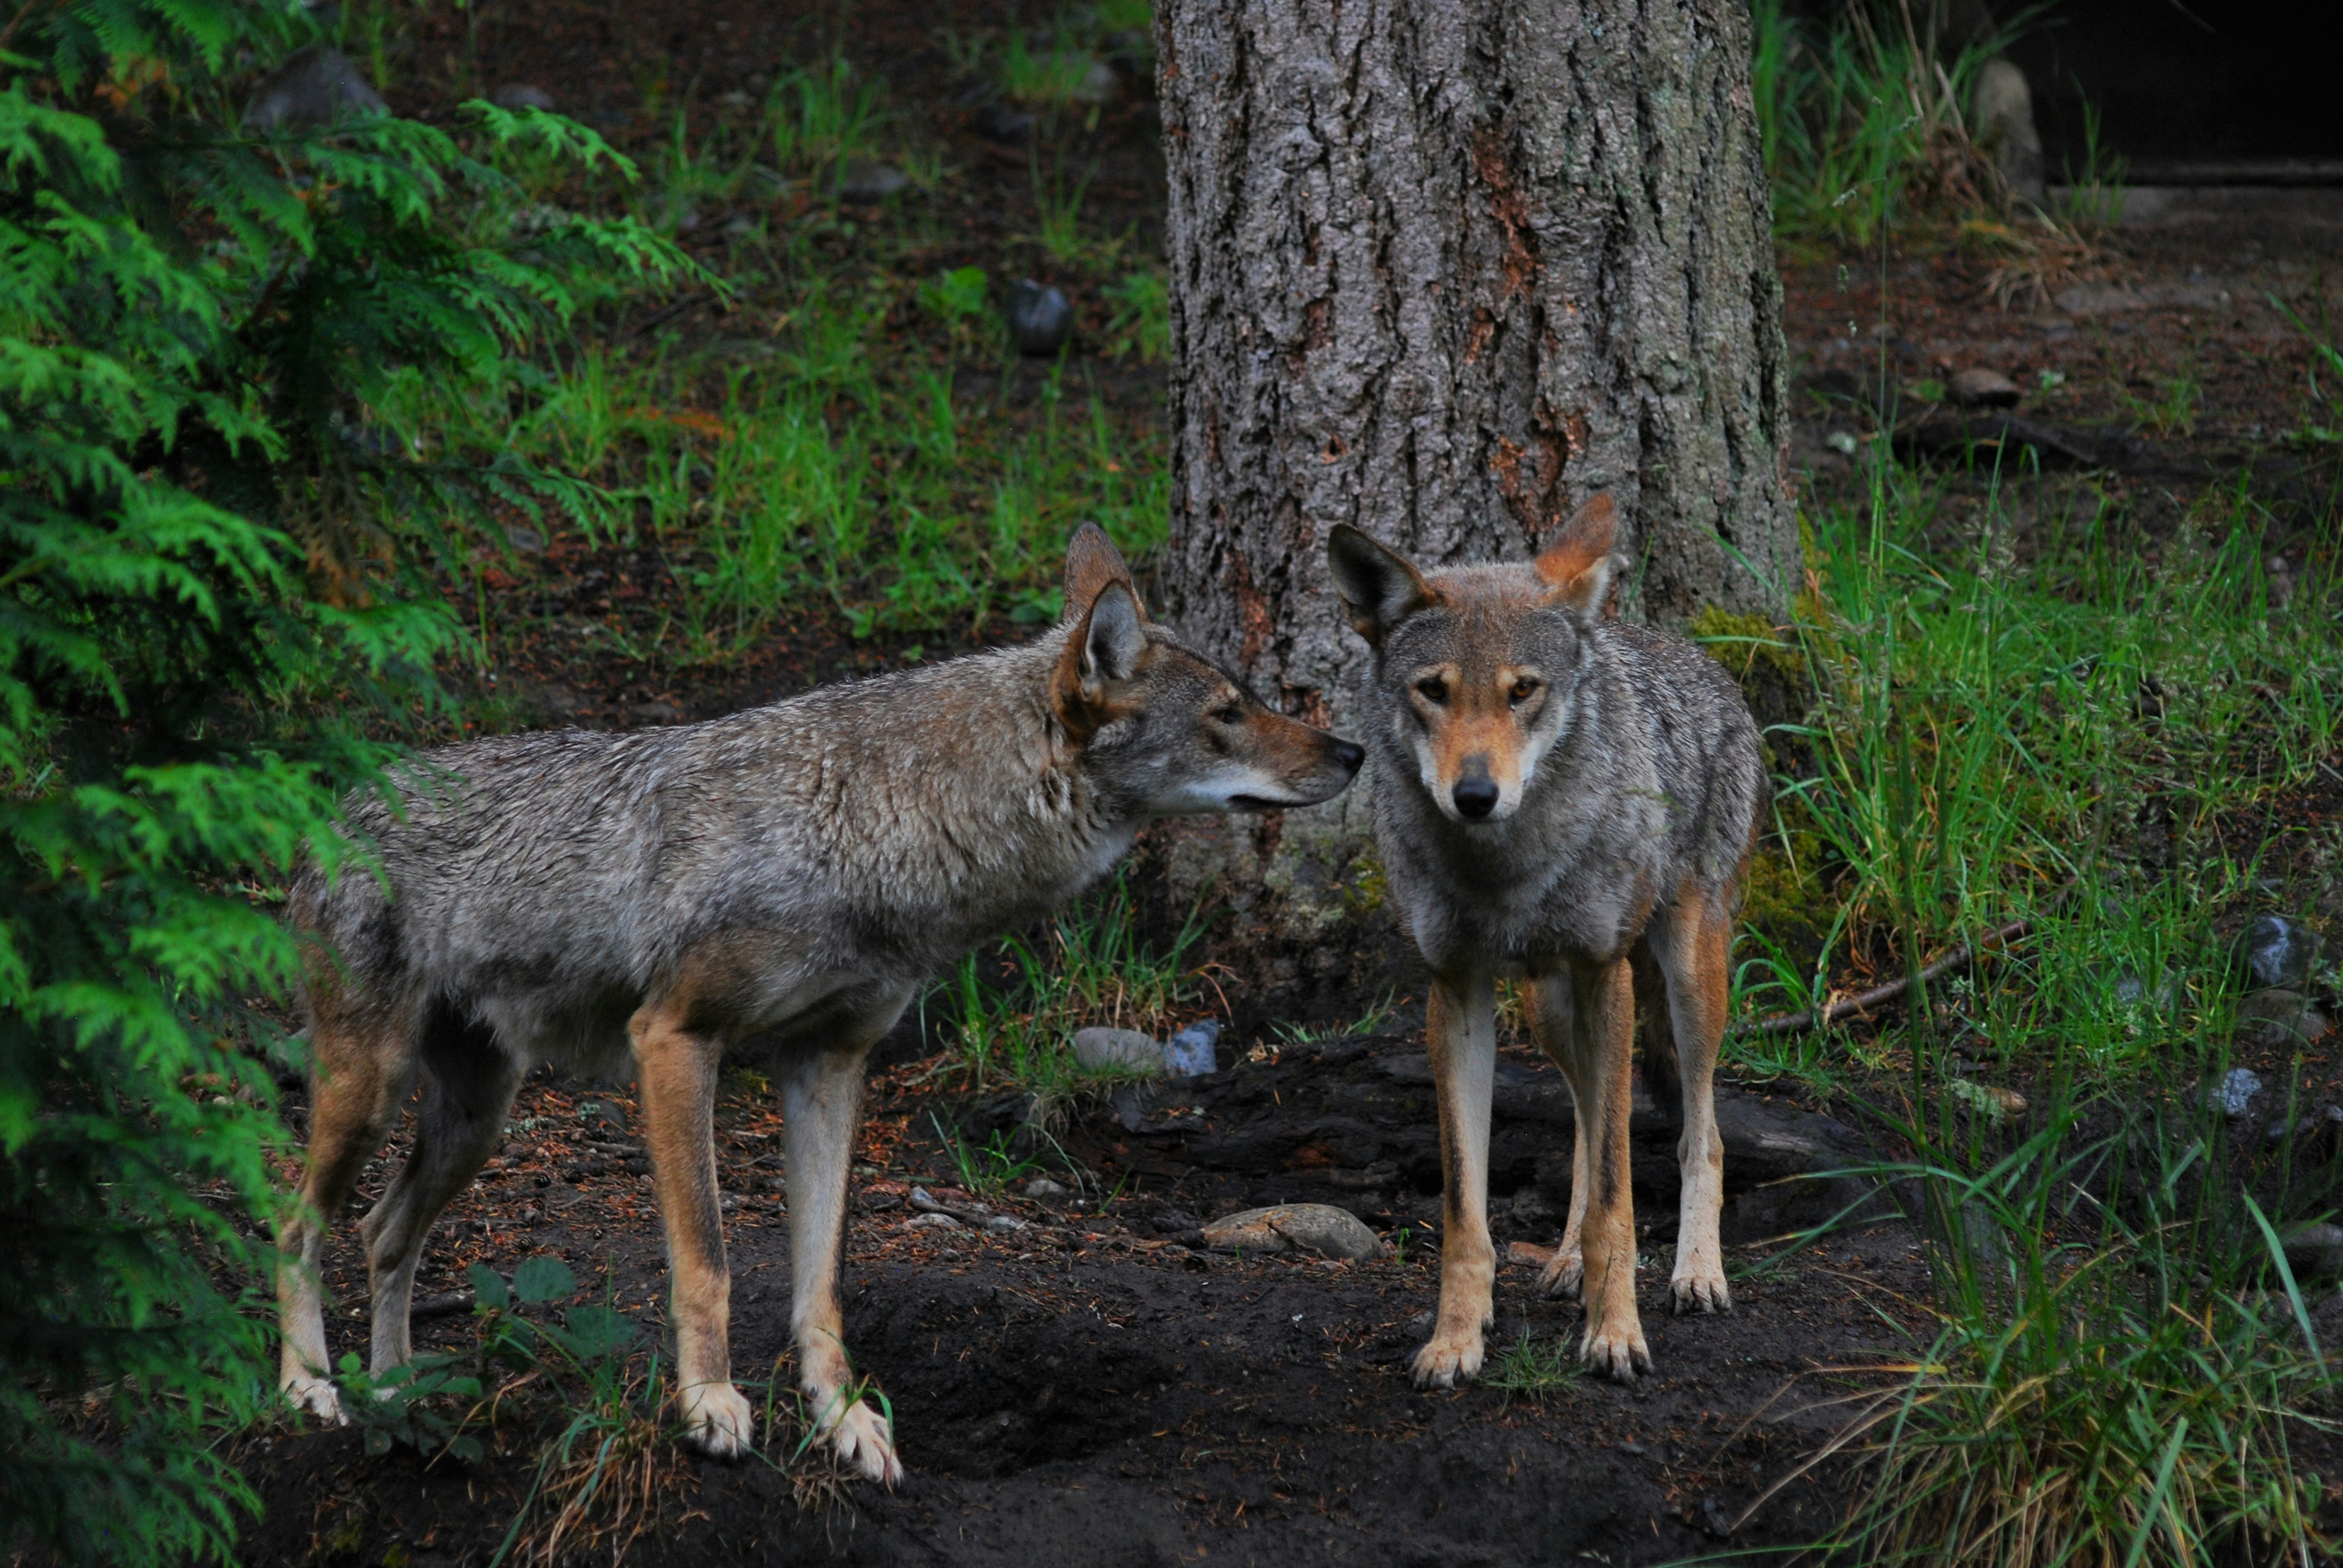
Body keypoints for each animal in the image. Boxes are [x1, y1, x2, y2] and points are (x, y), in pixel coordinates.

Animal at [276, 526, 1363, 1482]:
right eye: (1228, 713)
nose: (1353, 751)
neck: (872, 825)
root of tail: (339, 801)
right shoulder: (675, 1042)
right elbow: (708, 1260)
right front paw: (710, 1407)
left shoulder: (831, 1068)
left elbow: (821, 1287)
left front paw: (843, 1423)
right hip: (373, 1095)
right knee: (296, 1226)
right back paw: (312, 1390)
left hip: (476, 1121)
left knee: (380, 1236)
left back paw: (398, 1397)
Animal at [1326, 497, 1763, 1386]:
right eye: (1434, 692)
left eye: (1522, 691)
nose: (1475, 795)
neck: (1504, 869)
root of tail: (1688, 652)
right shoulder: (1456, 990)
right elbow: (1468, 1210)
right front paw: (1455, 1341)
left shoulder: (1604, 970)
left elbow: (1618, 1199)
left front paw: (1617, 1335)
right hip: (1548, 1007)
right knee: (1589, 1123)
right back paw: (1564, 1263)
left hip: (1684, 980)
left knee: (1700, 1133)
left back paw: (1696, 1273)